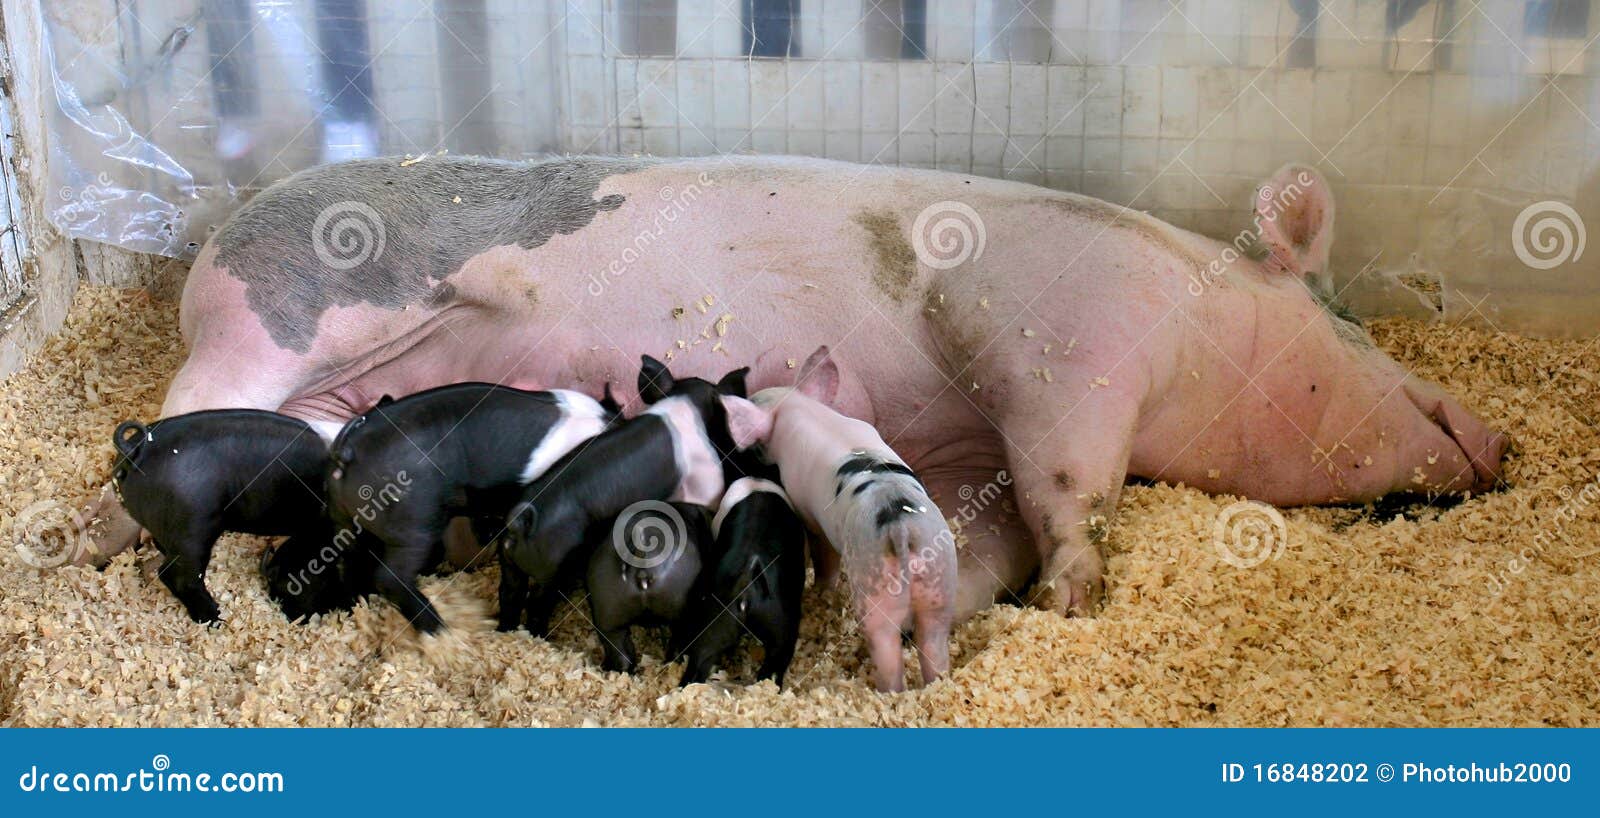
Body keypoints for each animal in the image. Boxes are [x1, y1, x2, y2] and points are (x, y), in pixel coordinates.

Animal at [287, 382, 619, 633]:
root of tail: (347, 451)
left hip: (343, 517)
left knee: (349, 560)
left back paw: (360, 604)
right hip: (414, 521)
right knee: (390, 577)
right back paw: (438, 626)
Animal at [498, 356, 762, 635]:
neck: (685, 403)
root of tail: (520, 522)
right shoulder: (706, 484)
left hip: (508, 560)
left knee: (509, 593)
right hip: (552, 568)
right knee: (537, 601)